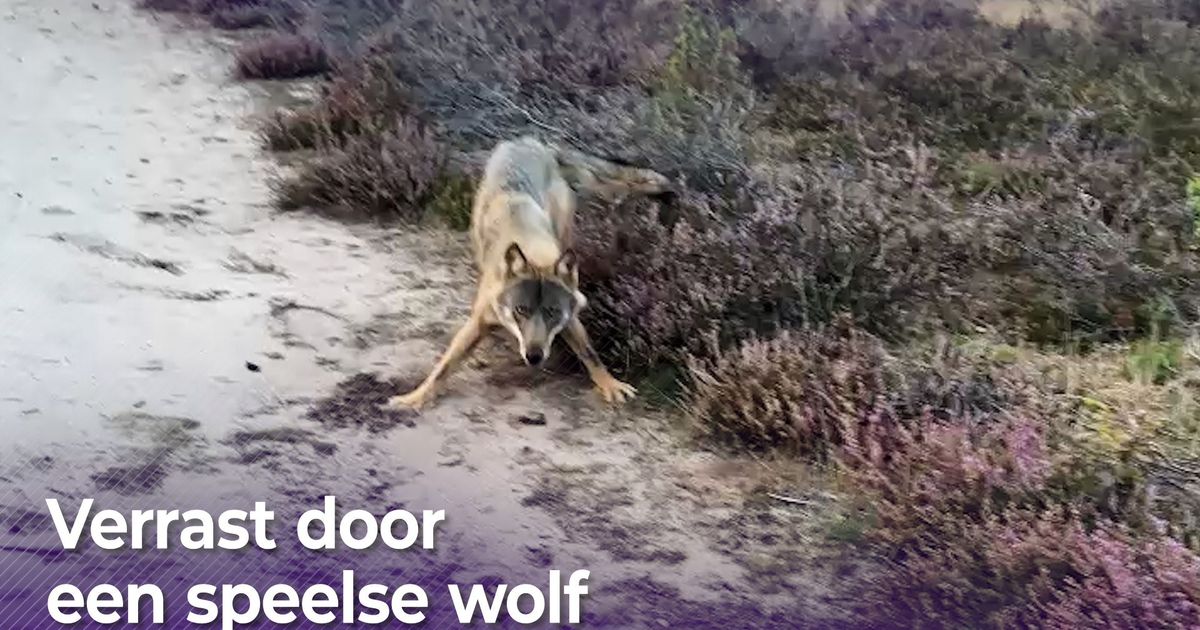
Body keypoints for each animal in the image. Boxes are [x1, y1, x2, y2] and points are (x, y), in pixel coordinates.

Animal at [386, 136, 671, 410]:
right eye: (521, 310)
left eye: (552, 312)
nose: (534, 356)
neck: (527, 241)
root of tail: (534, 141)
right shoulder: (479, 321)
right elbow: (443, 367)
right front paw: (414, 398)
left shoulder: (569, 317)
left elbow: (590, 353)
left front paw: (610, 385)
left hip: (563, 228)